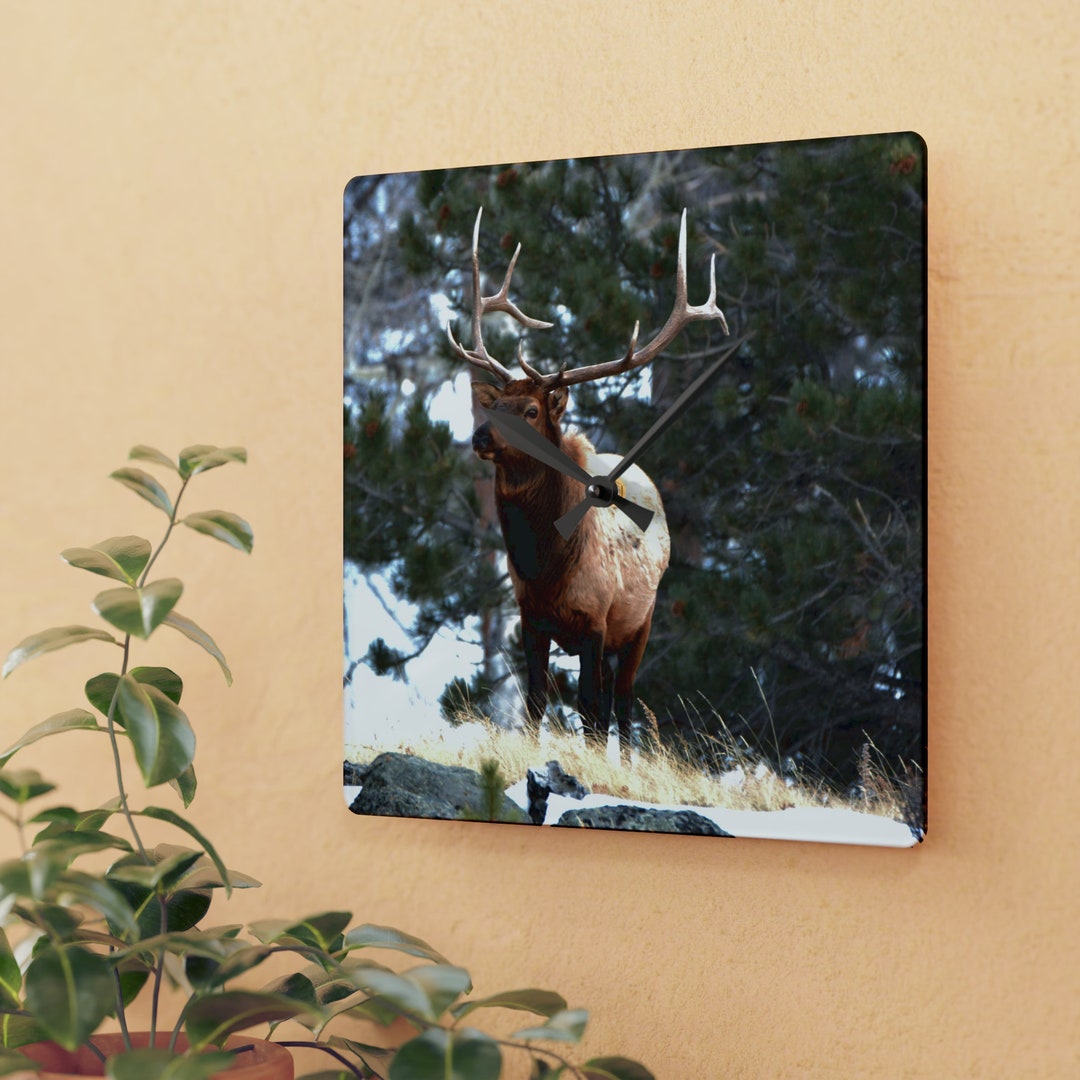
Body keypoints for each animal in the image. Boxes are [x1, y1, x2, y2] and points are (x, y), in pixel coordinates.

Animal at [449, 207, 729, 756]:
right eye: (498, 404)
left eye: (532, 411)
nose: (480, 435)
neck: (546, 567)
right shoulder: (529, 617)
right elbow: (536, 701)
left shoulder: (596, 621)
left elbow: (590, 709)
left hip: (642, 621)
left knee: (621, 702)